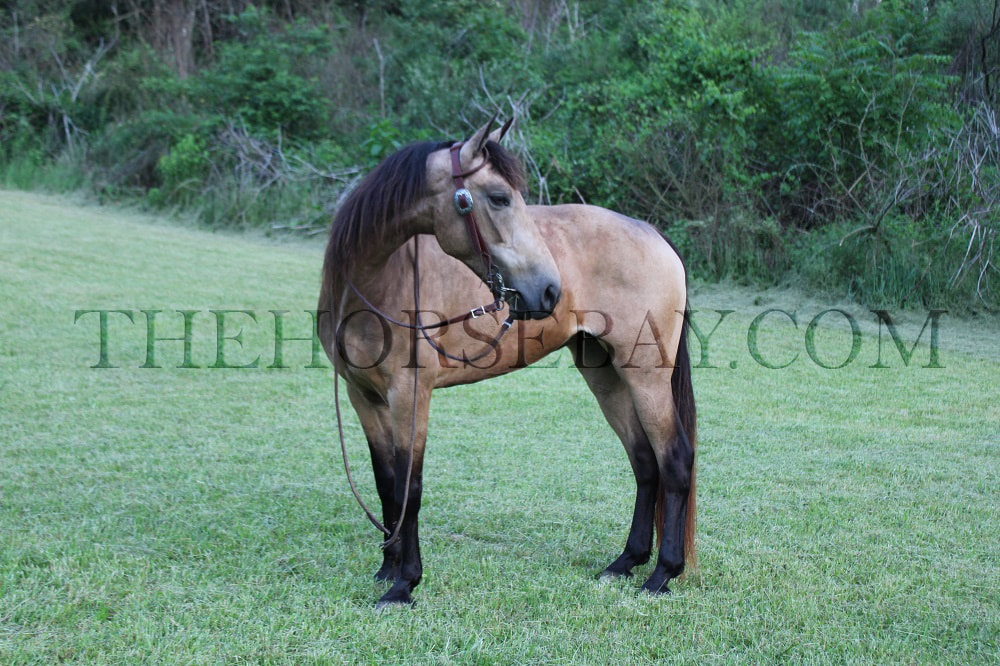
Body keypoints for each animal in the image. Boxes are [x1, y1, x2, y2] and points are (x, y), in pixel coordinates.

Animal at [318, 117, 696, 609]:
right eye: (499, 197)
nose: (549, 290)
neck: (376, 283)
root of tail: (653, 233)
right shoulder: (364, 396)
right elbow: (386, 485)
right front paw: (387, 568)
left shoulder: (410, 396)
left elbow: (410, 489)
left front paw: (405, 584)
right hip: (606, 375)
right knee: (644, 462)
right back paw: (624, 563)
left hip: (645, 376)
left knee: (674, 460)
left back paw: (662, 574)